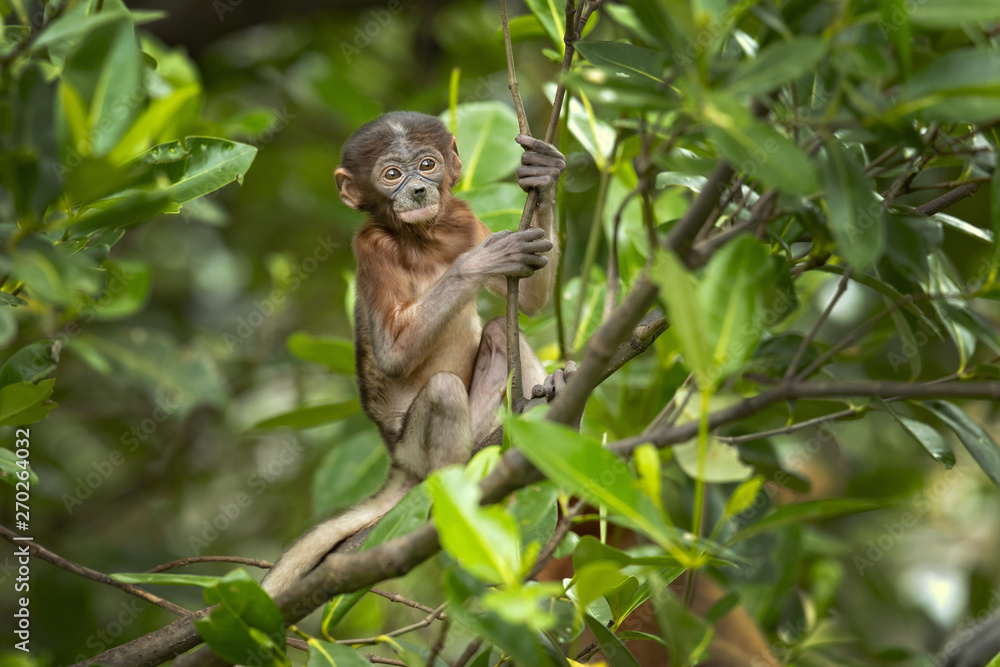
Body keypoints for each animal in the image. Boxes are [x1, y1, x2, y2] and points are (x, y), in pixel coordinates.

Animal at [260, 111, 570, 595]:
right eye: (391, 175)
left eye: (427, 165)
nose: (419, 190)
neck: (423, 238)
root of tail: (395, 458)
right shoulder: (371, 246)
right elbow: (391, 354)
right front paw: (477, 263)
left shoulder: (463, 219)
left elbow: (530, 300)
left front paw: (544, 171)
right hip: (418, 451)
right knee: (443, 389)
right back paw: (457, 501)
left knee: (500, 331)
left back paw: (545, 404)